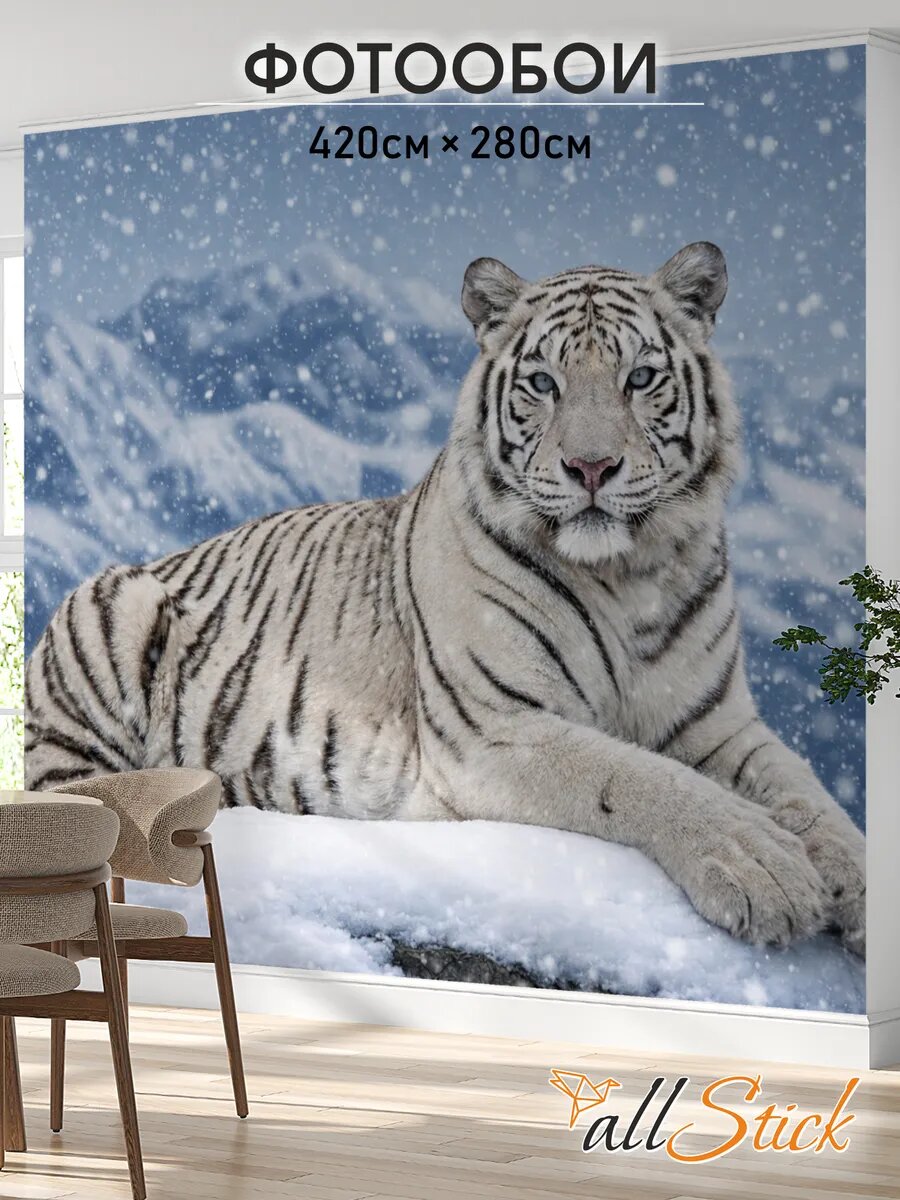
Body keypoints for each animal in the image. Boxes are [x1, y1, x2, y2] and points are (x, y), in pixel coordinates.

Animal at [25, 242, 865, 956]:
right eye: (543, 383)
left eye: (640, 378)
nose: (592, 467)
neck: (627, 577)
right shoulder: (495, 726)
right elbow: (635, 779)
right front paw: (765, 868)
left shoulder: (721, 727)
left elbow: (810, 794)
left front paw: (853, 886)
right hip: (111, 605)